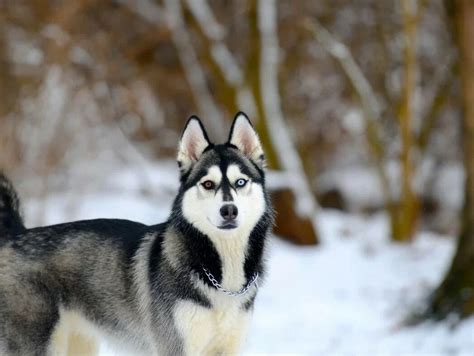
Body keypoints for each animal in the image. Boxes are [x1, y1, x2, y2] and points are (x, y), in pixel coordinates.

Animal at [0, 112, 274, 356]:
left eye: (240, 182)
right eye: (208, 184)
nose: (229, 210)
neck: (218, 274)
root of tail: (16, 234)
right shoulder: (174, 347)